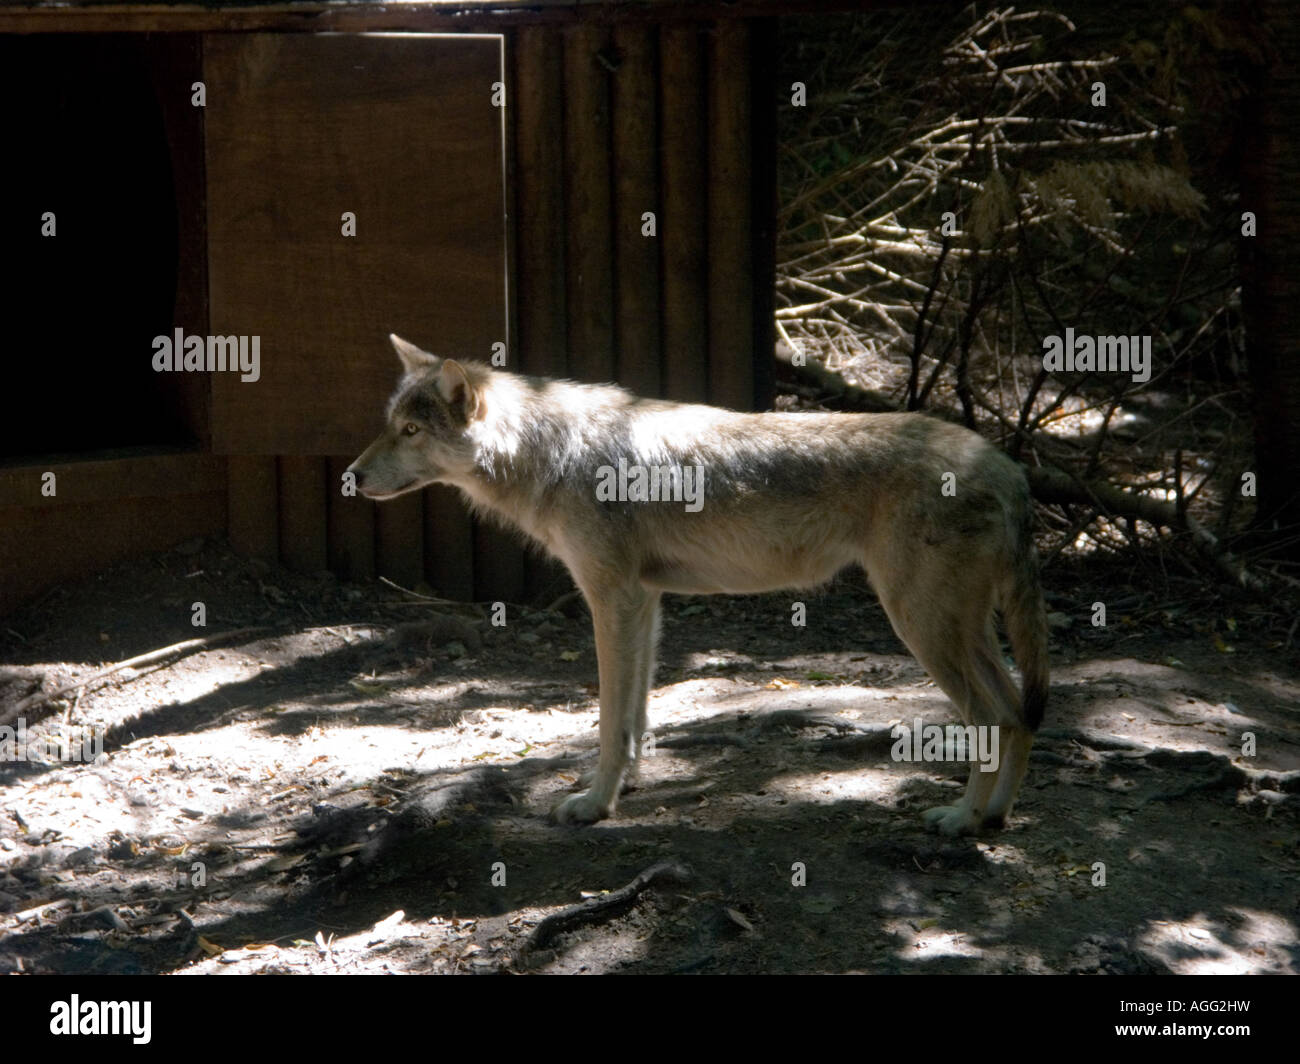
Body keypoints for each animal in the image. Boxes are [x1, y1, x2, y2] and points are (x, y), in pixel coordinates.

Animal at [348, 335, 1049, 835]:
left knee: (992, 715)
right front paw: (624, 789)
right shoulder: (644, 601)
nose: (349, 477)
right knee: (1020, 711)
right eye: (389, 424)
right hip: (958, 630)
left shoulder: (611, 598)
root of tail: (1009, 469)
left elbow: (608, 719)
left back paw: (961, 821)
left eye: (411, 431)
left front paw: (594, 805)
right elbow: (634, 715)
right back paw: (996, 817)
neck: (552, 452)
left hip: (920, 625)